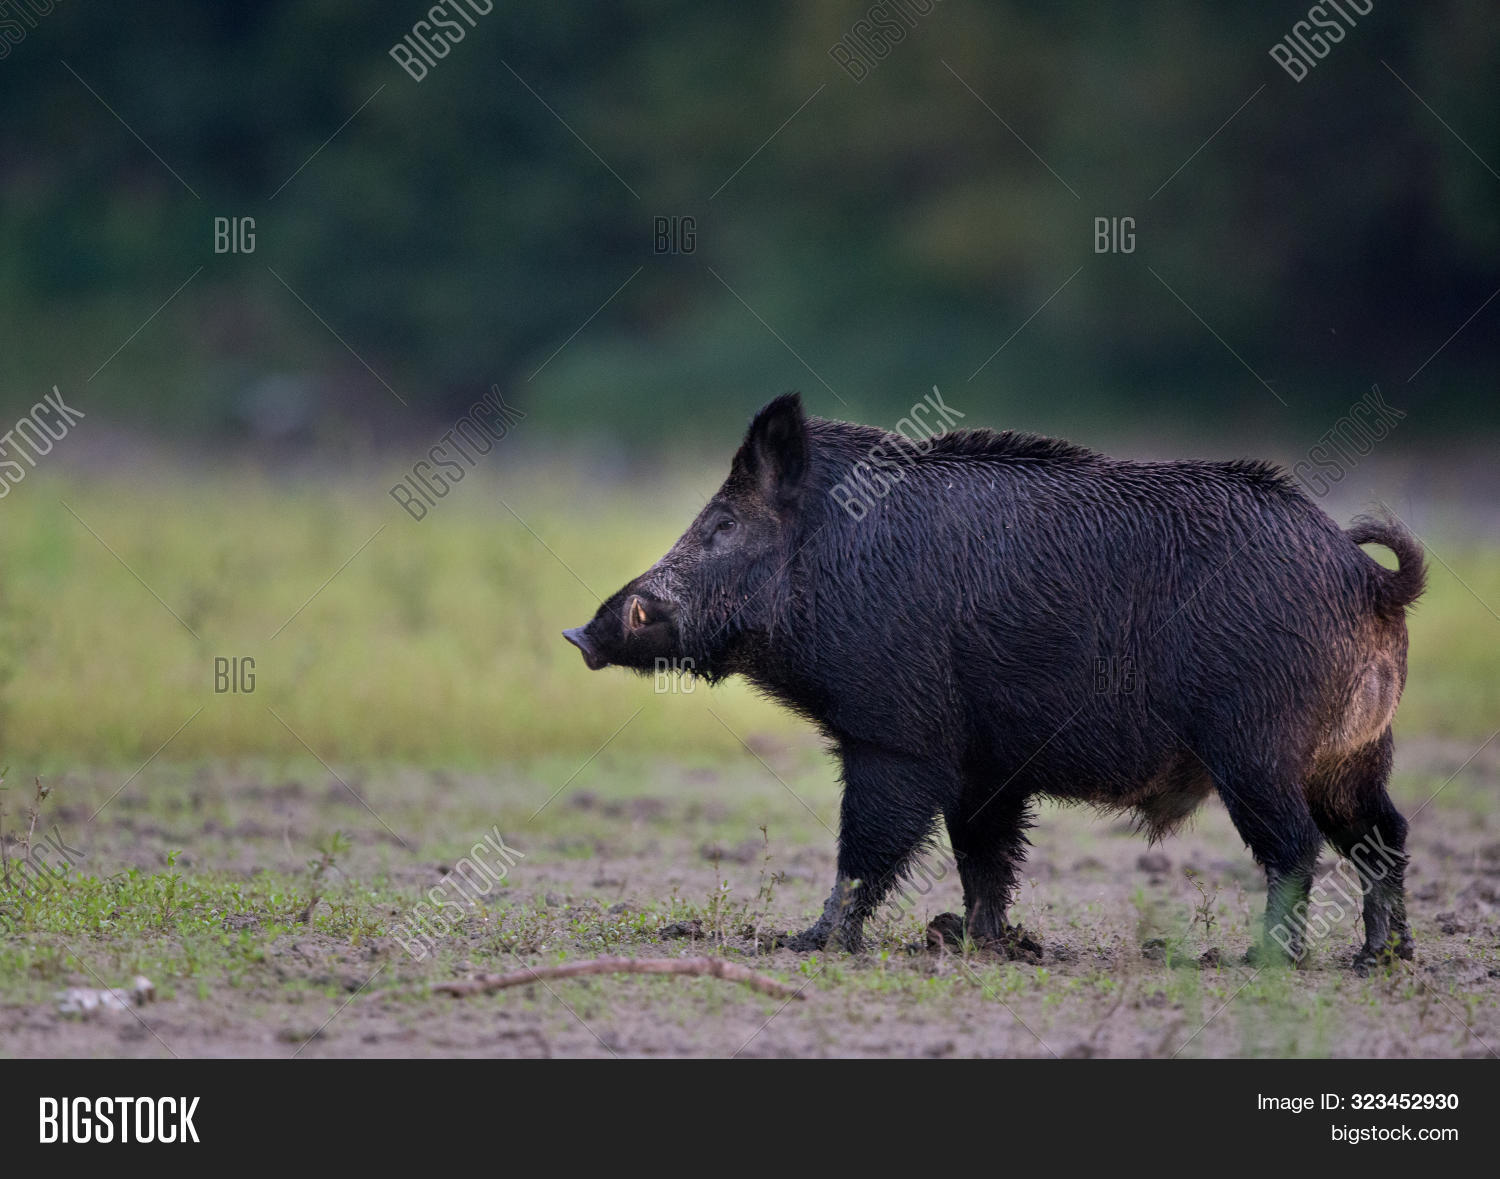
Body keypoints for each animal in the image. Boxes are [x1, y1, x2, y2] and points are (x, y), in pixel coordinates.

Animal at [563, 393, 1425, 969]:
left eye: (722, 525)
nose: (581, 632)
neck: (831, 560)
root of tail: (1370, 581)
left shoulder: (897, 740)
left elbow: (867, 846)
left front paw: (809, 943)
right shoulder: (984, 766)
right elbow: (984, 857)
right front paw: (985, 944)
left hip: (1256, 747)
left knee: (1298, 847)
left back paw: (1261, 960)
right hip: (1353, 755)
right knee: (1384, 835)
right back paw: (1378, 959)